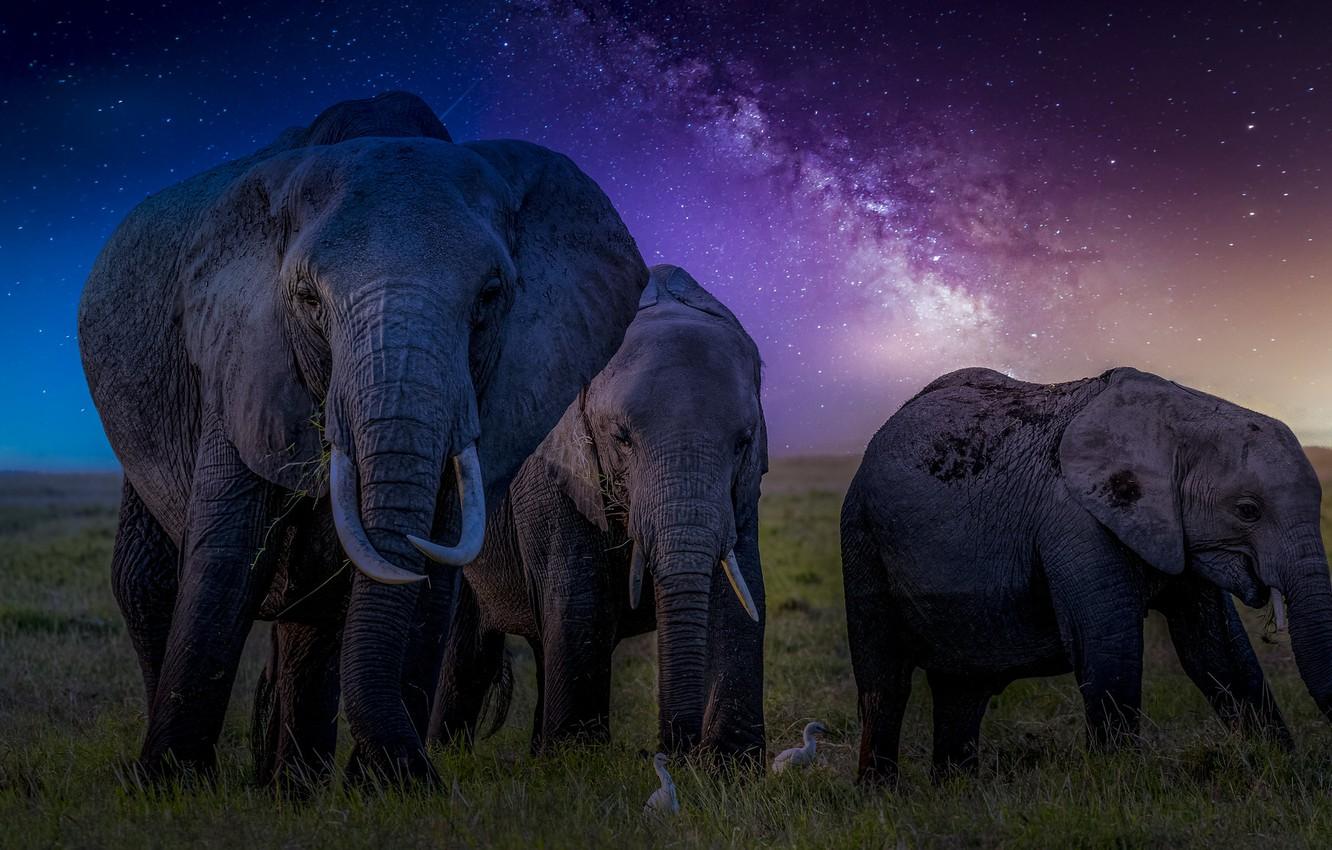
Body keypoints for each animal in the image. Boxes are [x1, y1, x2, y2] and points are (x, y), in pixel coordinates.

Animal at [77, 91, 647, 783]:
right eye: (307, 300)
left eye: (490, 297)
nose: (414, 773)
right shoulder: (240, 356)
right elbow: (226, 554)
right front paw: (171, 784)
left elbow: (431, 572)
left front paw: (387, 787)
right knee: (148, 579)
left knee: (311, 616)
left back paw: (291, 788)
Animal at [430, 265, 768, 764]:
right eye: (622, 439)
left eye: (743, 442)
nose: (670, 753)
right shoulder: (550, 470)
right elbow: (578, 599)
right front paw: (578, 760)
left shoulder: (741, 493)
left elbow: (739, 595)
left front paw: (730, 767)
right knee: (467, 653)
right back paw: (446, 755)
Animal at [841, 366, 1331, 784]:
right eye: (1247, 510)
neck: (1177, 418)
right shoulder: (1076, 521)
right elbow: (1109, 646)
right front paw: (1125, 785)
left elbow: (1219, 654)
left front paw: (1286, 770)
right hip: (861, 532)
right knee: (885, 683)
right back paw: (880, 794)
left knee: (962, 691)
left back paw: (956, 790)